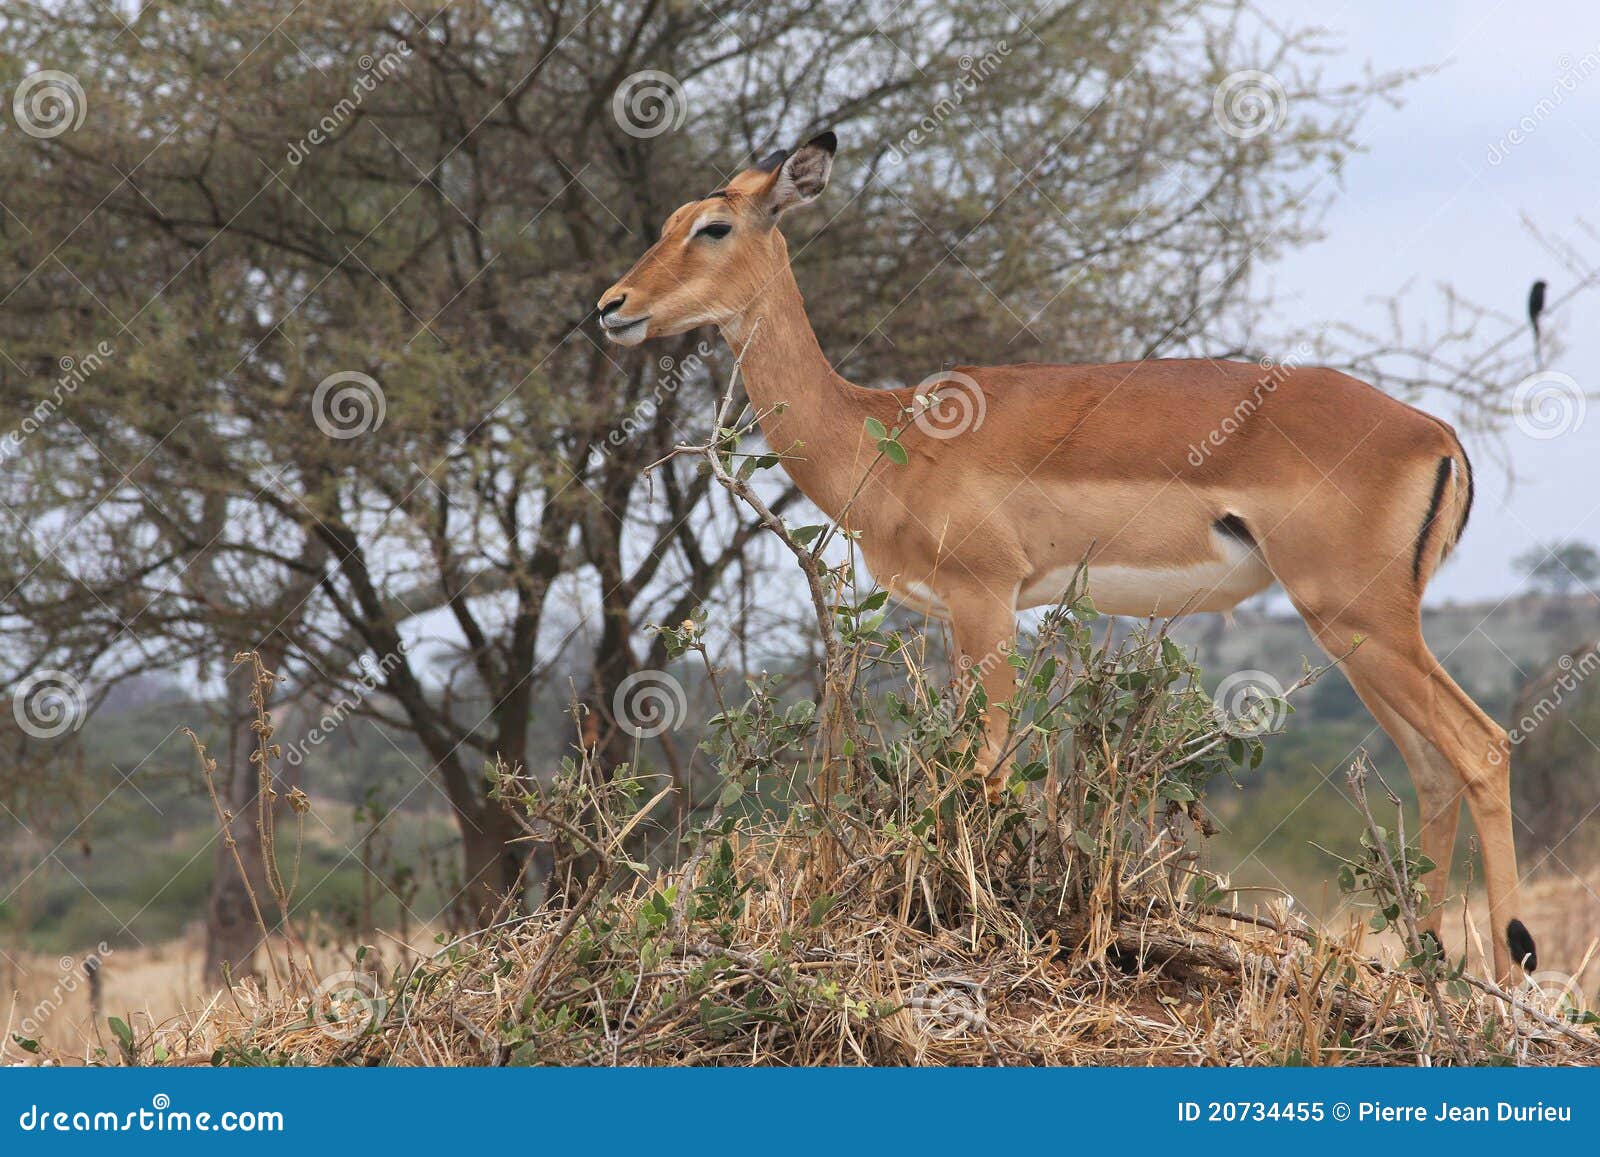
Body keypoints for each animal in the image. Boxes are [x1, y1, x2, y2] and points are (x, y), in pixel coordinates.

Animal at [598, 131, 1535, 980]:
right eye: (671, 218)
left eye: (713, 225)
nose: (612, 304)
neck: (891, 432)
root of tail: (1435, 431)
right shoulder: (956, 614)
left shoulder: (986, 598)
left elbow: (984, 768)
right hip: (1357, 632)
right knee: (1434, 767)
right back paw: (1427, 974)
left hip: (1361, 617)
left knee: (1483, 746)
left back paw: (1512, 970)